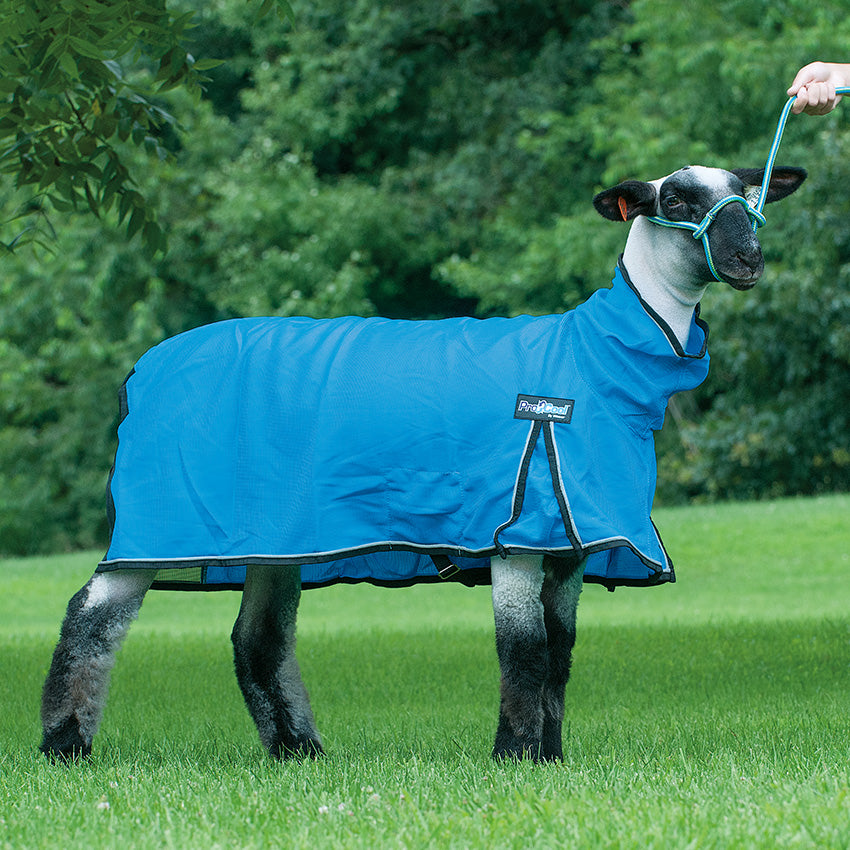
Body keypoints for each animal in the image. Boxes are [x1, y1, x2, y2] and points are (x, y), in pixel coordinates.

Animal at [40, 164, 806, 763]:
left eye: (746, 192)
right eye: (675, 199)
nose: (749, 260)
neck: (594, 358)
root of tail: (142, 370)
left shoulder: (570, 539)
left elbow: (560, 653)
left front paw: (553, 756)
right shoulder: (515, 530)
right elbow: (524, 651)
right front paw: (515, 756)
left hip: (275, 532)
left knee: (257, 637)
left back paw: (299, 751)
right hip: (159, 517)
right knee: (91, 617)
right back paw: (65, 745)